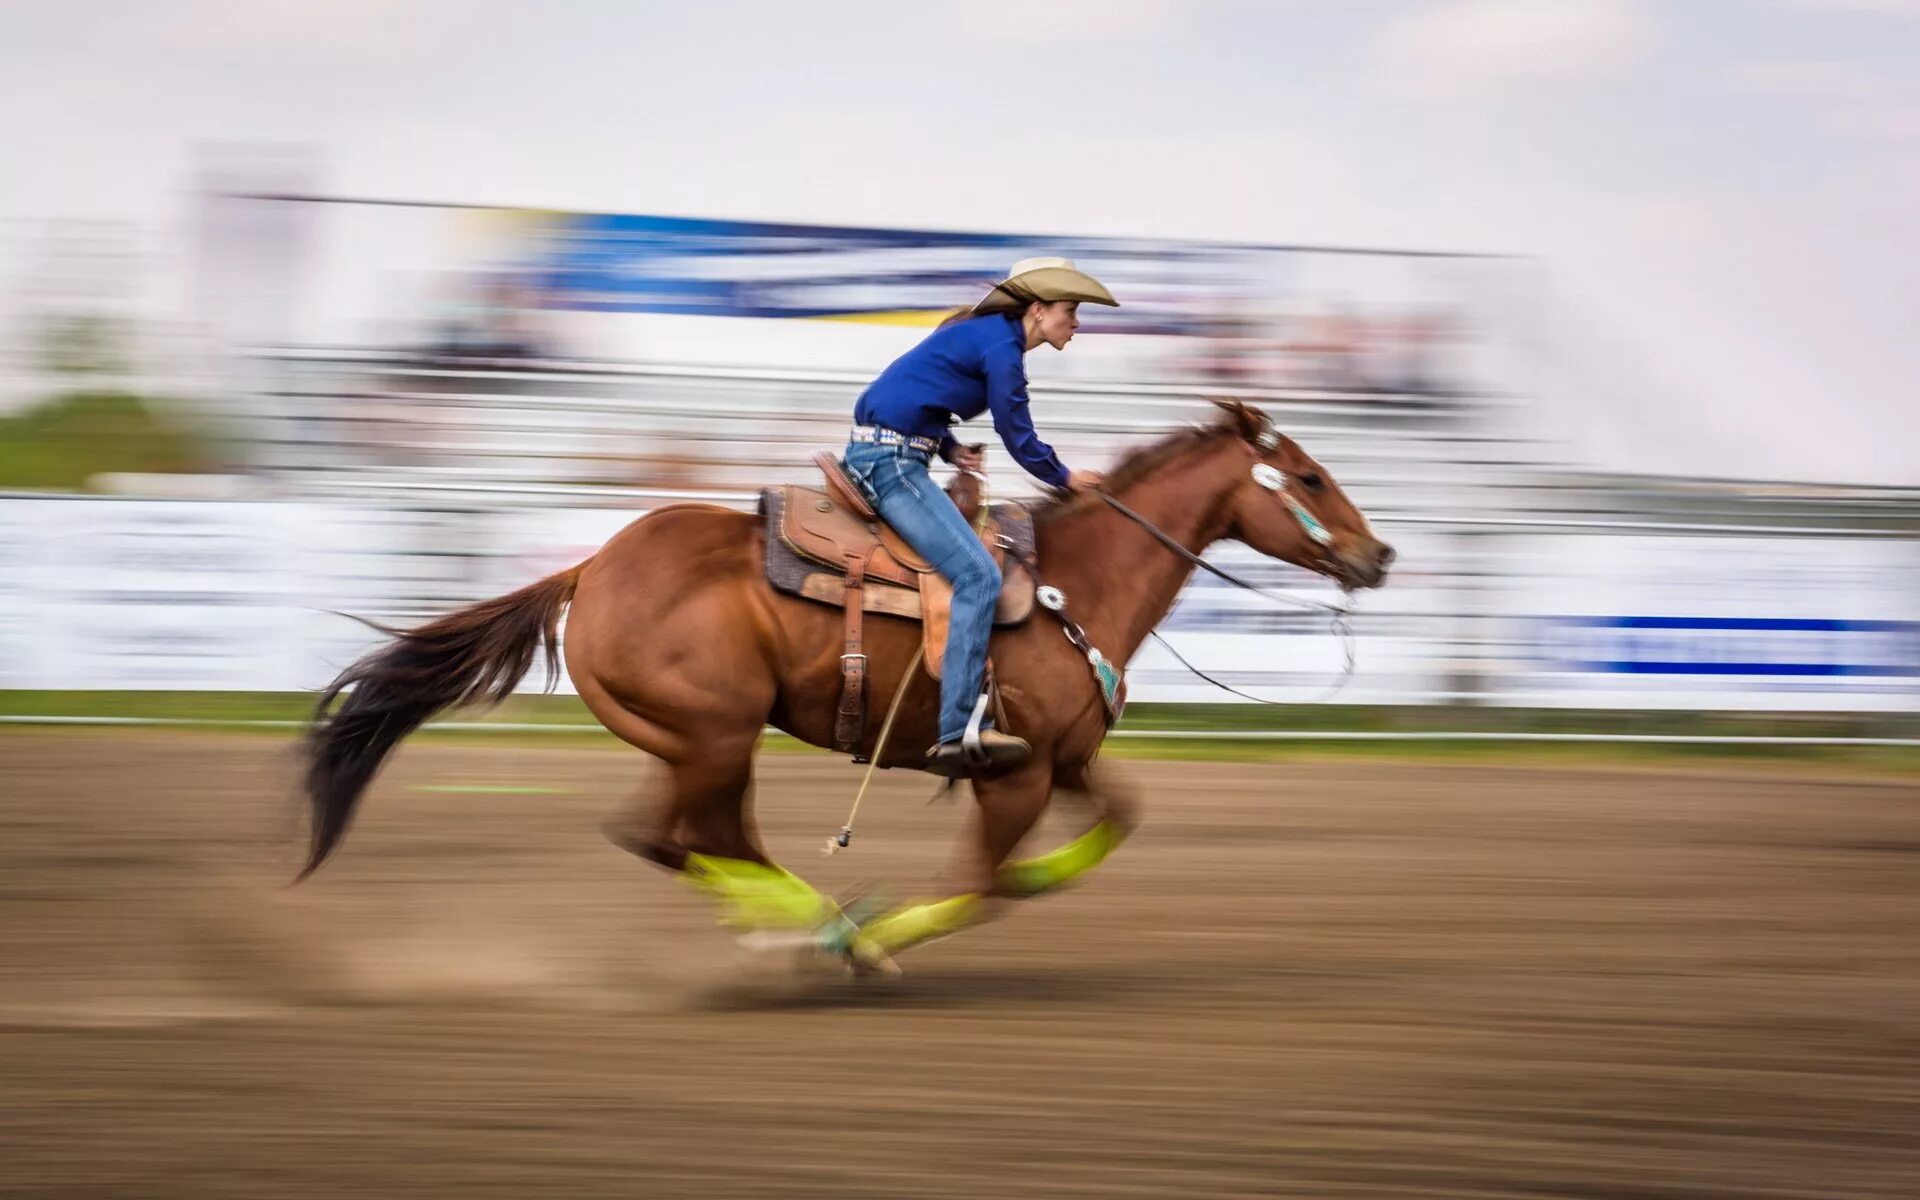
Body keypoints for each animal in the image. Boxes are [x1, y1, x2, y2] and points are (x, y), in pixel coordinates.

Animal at [295, 399, 1397, 975]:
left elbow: (1112, 824)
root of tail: (590, 569)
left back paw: (805, 923)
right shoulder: (1014, 774)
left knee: (678, 836)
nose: (1377, 554)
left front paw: (1016, 888)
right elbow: (979, 886)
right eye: (1307, 477)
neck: (1076, 581)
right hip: (714, 735)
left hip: (694, 743)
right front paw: (886, 939)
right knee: (693, 837)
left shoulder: (1066, 759)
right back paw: (831, 931)